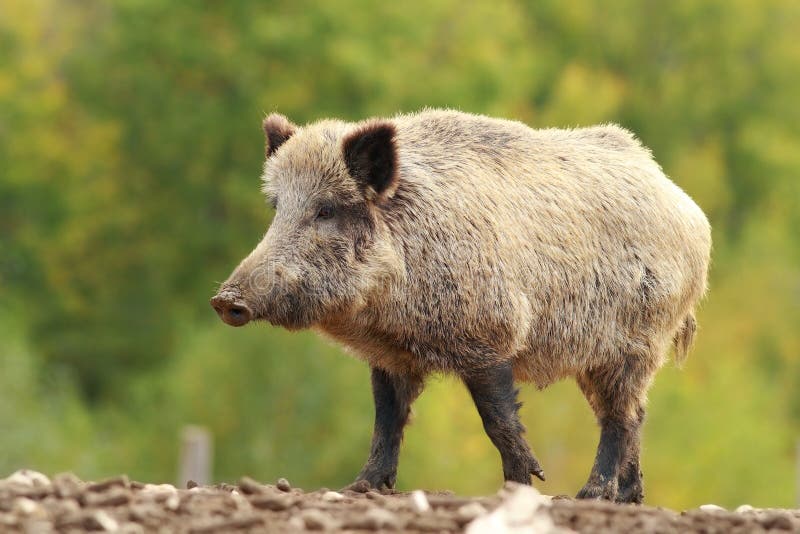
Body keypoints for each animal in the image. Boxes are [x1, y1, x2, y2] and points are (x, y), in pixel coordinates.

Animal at [210, 109, 711, 503]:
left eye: (326, 210)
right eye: (277, 208)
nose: (225, 300)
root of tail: (687, 207)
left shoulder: (489, 335)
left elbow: (498, 420)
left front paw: (522, 485)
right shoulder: (390, 356)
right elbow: (387, 420)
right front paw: (361, 488)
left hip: (636, 341)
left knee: (619, 417)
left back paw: (590, 495)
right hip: (601, 357)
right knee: (635, 414)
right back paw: (627, 498)